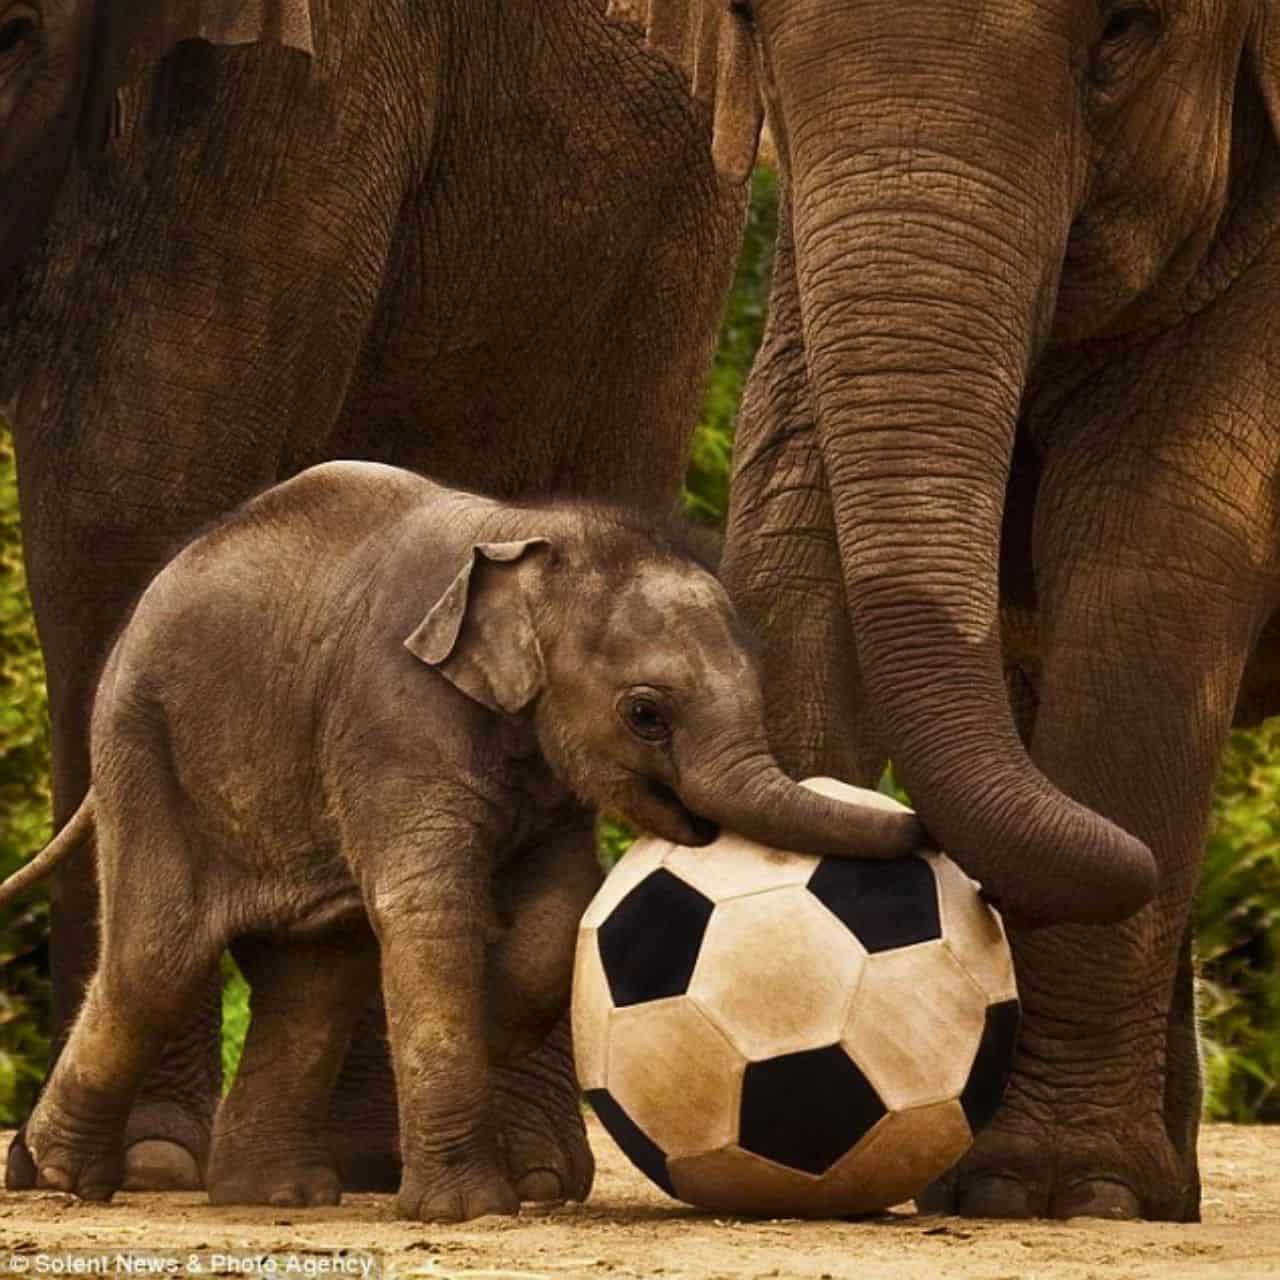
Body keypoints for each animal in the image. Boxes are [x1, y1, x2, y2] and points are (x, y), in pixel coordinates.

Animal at [0, 461, 927, 1220]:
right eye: (645, 714)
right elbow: (429, 911)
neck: (532, 533)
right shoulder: (395, 716)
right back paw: (59, 1182)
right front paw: (470, 1210)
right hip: (145, 749)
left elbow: (562, 895)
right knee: (156, 961)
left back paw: (273, 1195)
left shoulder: (543, 763)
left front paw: (498, 1022)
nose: (921, 828)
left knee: (312, 984)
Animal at [611, 0, 1280, 1223]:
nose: (911, 835)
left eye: (1125, 32)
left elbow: (1145, 565)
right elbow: (791, 531)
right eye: (749, 28)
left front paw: (1051, 1191)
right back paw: (1162, 1197)